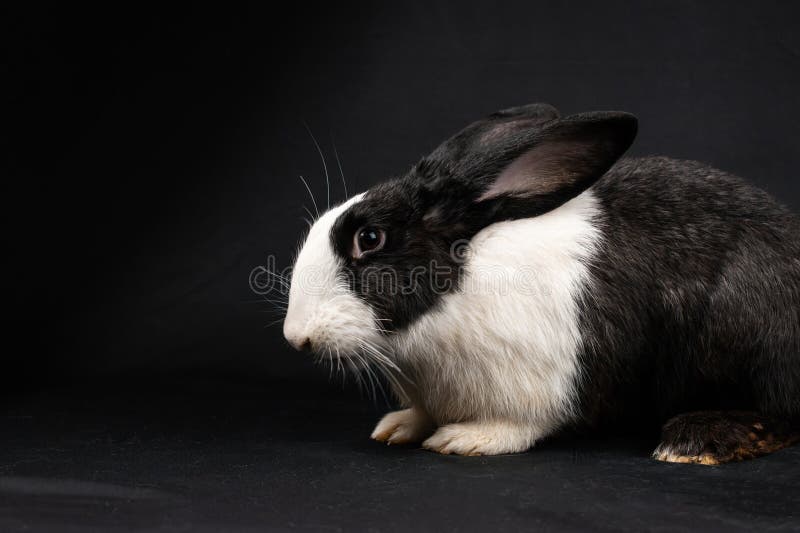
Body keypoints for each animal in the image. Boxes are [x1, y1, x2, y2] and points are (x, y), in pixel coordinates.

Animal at [282, 103, 800, 464]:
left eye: (369, 238)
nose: (295, 337)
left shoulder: (537, 383)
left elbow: (520, 424)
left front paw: (465, 439)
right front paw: (398, 426)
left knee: (779, 414)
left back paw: (694, 442)